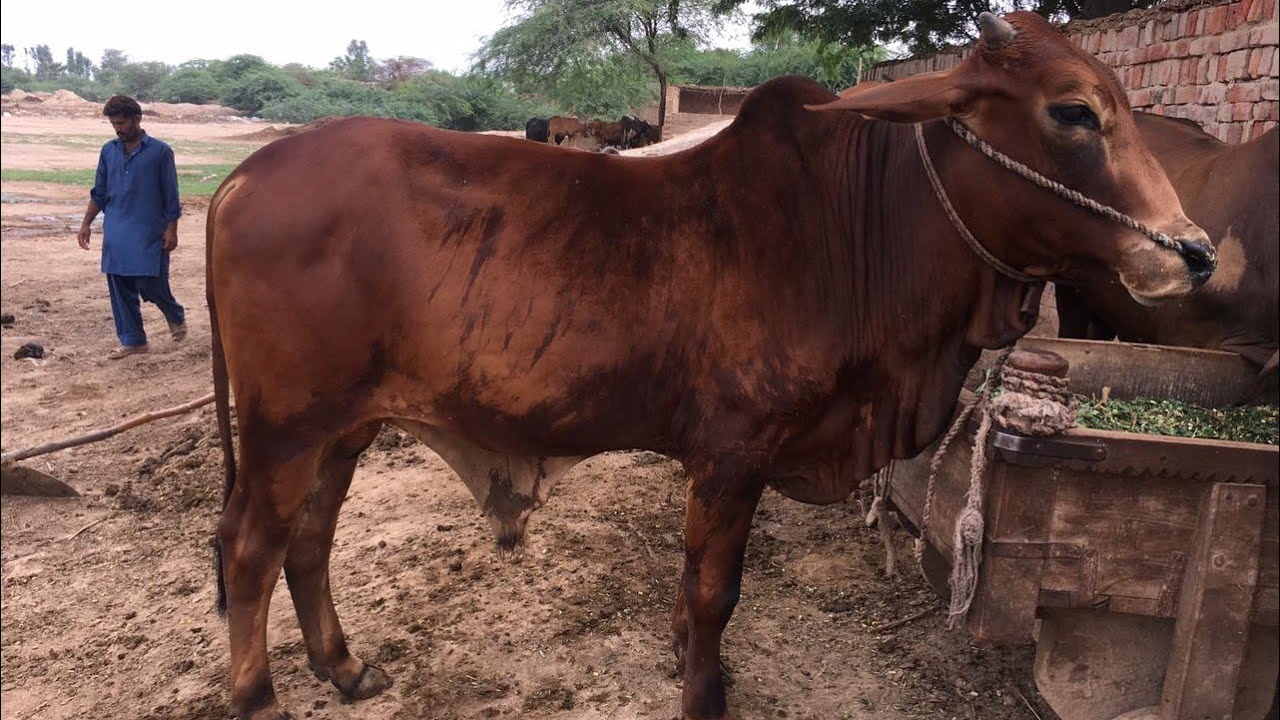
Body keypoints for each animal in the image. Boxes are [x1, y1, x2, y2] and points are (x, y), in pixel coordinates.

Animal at [206, 12, 1212, 720]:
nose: (1195, 253)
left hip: (344, 428)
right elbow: (714, 590)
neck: (854, 222)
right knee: (251, 550)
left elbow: (694, 592)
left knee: (309, 543)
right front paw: (704, 693)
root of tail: (246, 175)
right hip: (285, 429)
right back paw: (260, 698)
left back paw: (344, 667)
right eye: (1073, 112)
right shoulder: (735, 454)